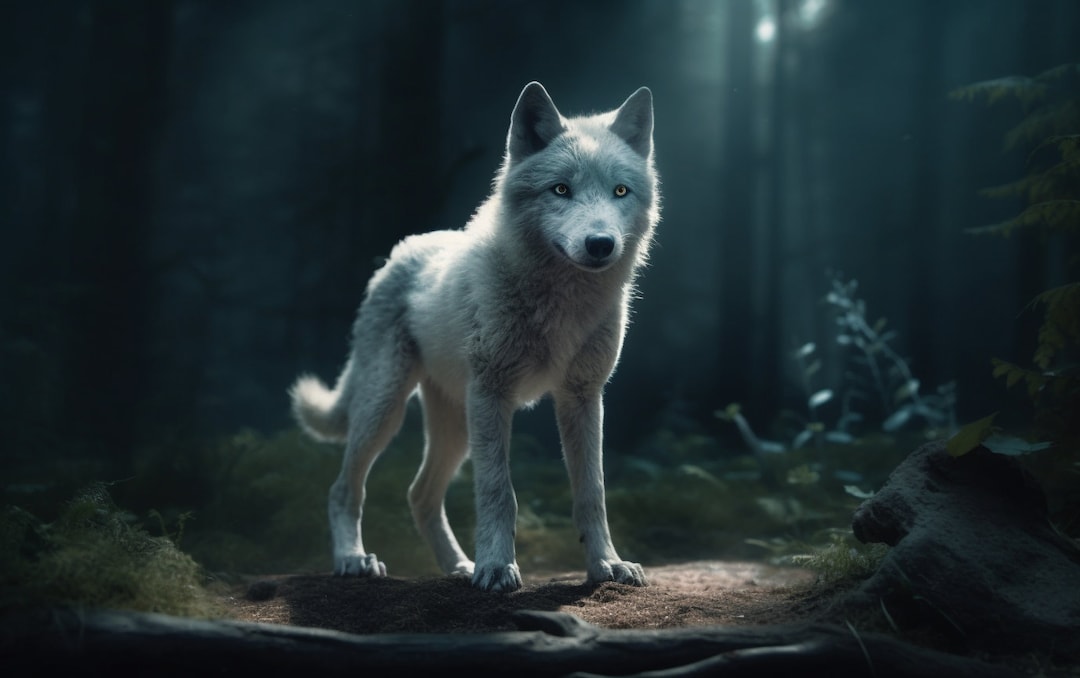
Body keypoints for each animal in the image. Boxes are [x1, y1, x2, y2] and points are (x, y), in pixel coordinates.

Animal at [289, 82, 660, 592]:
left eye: (620, 191)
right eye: (561, 189)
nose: (601, 244)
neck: (559, 305)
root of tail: (399, 252)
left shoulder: (583, 397)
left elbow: (592, 491)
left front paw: (607, 564)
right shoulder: (493, 394)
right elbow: (499, 491)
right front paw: (497, 568)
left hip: (457, 427)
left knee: (419, 495)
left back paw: (458, 566)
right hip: (388, 410)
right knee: (344, 488)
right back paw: (354, 559)